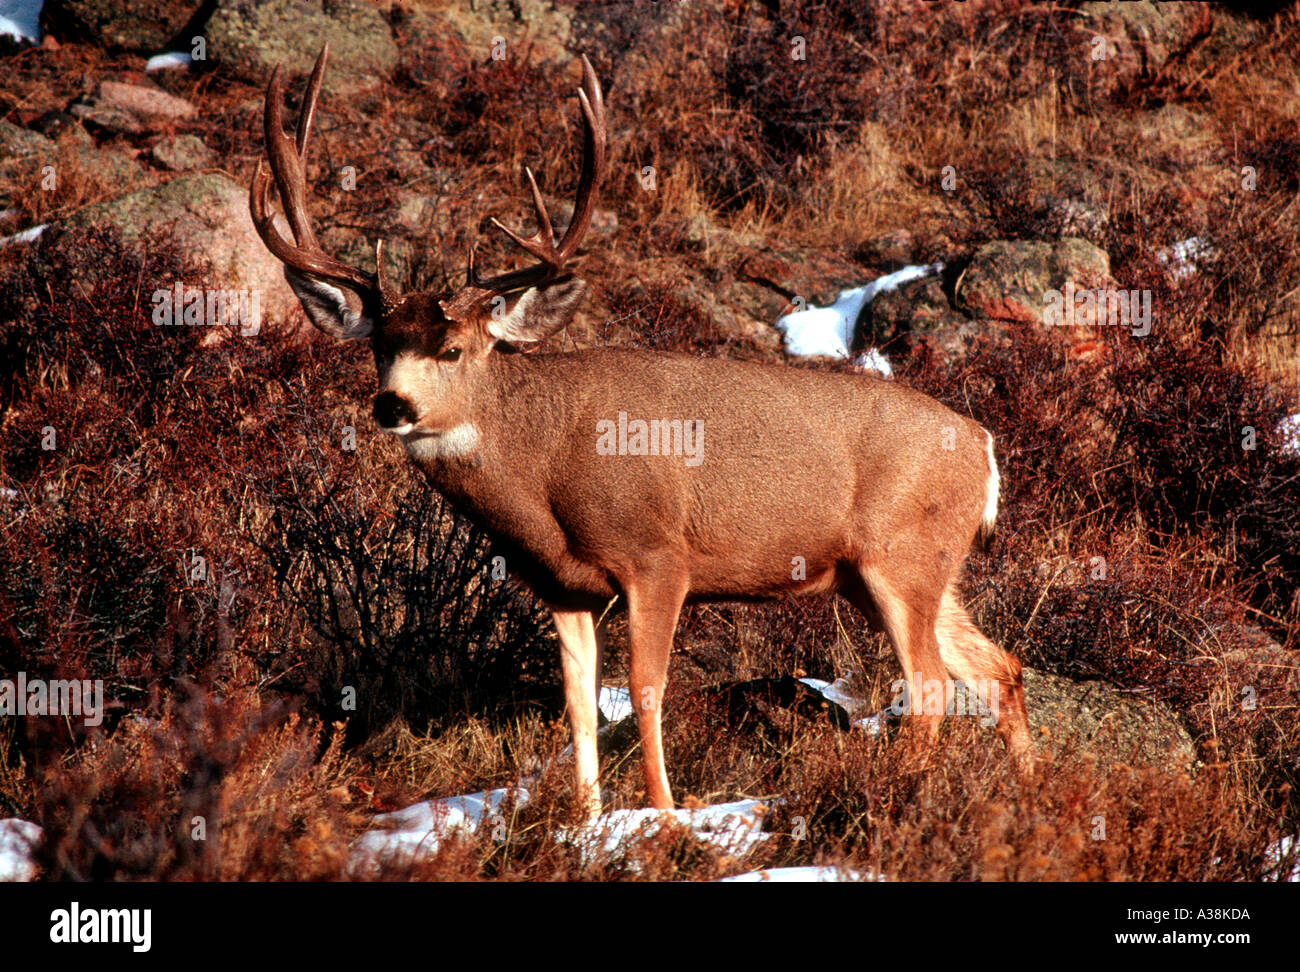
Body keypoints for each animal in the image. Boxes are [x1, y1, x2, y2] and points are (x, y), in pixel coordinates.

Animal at [249, 46, 1032, 817]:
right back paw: (1027, 793)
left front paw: (661, 814)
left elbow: (647, 691)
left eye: (453, 349)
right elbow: (578, 706)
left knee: (931, 684)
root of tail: (984, 446)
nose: (392, 406)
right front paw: (586, 819)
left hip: (900, 554)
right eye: (380, 345)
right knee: (999, 667)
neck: (545, 473)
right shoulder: (564, 587)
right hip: (906, 570)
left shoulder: (658, 556)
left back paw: (903, 793)